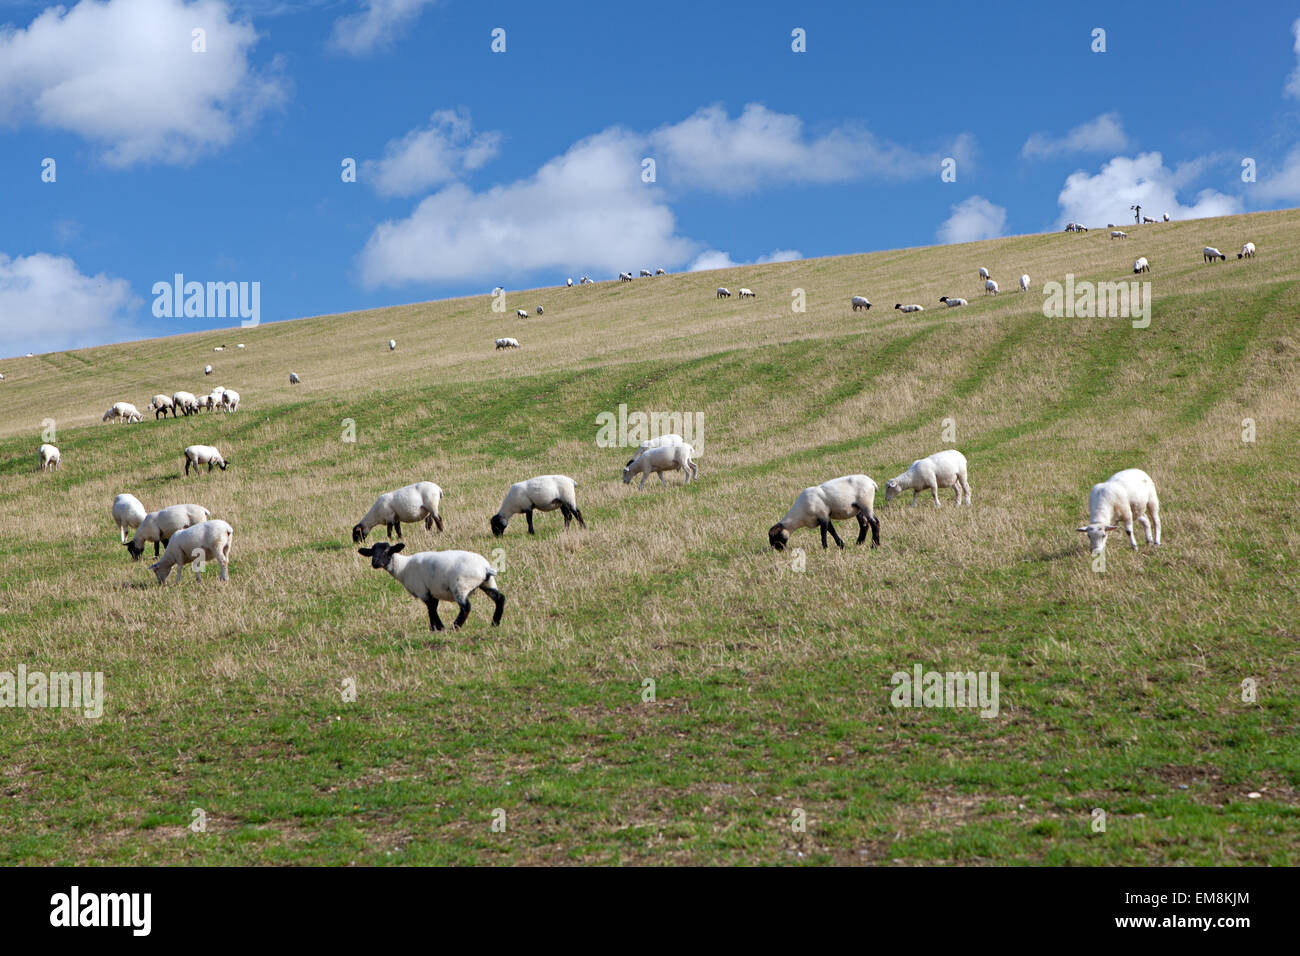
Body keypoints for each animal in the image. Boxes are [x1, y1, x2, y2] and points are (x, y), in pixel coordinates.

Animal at [357, 542, 504, 631]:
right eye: (372, 552)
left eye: (387, 551)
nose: (375, 563)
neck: (402, 567)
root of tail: (485, 568)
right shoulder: (430, 591)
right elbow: (433, 607)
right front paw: (436, 627)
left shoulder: (422, 590)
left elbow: (431, 608)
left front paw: (438, 628)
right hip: (488, 583)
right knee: (500, 598)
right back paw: (495, 623)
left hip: (460, 586)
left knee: (465, 607)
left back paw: (454, 628)